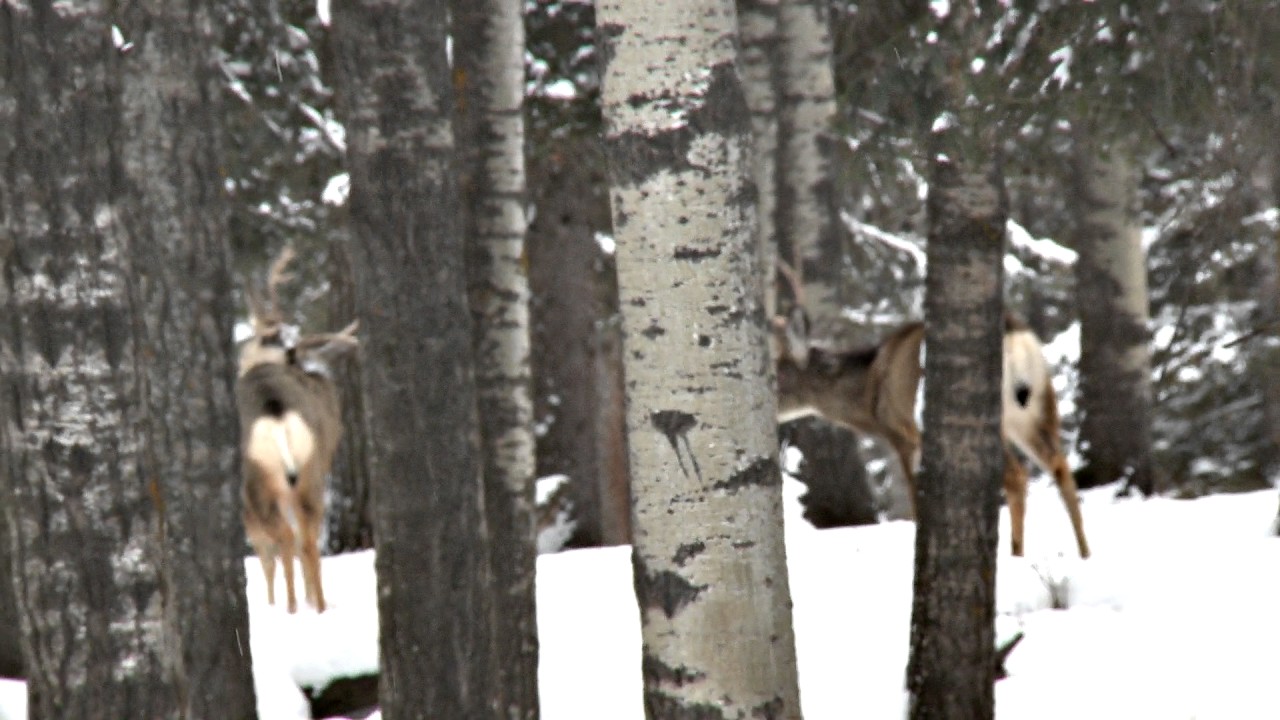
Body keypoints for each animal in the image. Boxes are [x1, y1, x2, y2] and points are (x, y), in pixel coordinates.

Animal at [236, 247, 359, 613]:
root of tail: (275, 410)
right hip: (307, 472)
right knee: (306, 541)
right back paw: (316, 606)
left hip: (263, 482)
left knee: (287, 542)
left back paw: (293, 607)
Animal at [772, 282, 1090, 559]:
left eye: (774, 372)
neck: (869, 392)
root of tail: (1015, 337)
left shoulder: (902, 433)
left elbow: (915, 496)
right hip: (1037, 406)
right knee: (1060, 465)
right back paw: (1084, 553)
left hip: (984, 414)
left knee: (1017, 474)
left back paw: (1017, 554)